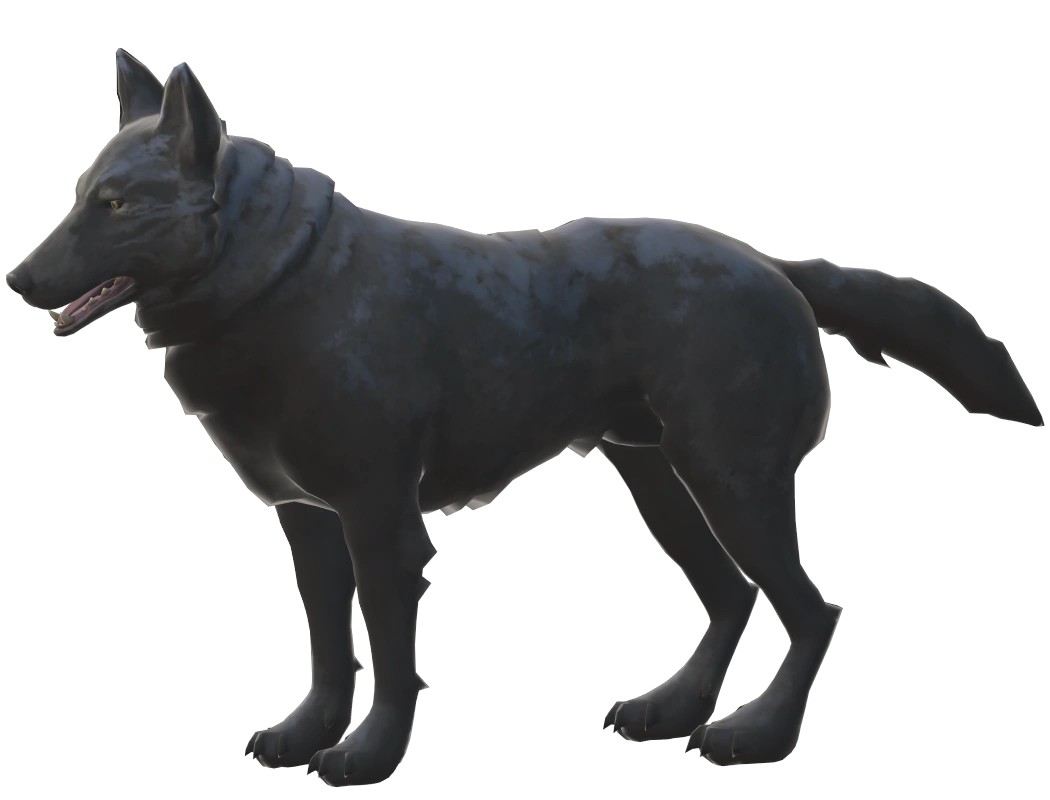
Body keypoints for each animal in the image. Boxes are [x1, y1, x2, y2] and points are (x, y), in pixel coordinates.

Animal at [6, 51, 1043, 784]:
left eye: (117, 204)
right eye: (80, 196)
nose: (16, 281)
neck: (279, 284)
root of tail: (775, 266)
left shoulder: (385, 523)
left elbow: (389, 659)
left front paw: (369, 757)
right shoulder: (307, 520)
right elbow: (329, 651)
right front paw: (307, 737)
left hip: (731, 482)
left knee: (810, 608)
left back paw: (755, 735)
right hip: (661, 482)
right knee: (732, 597)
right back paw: (672, 714)